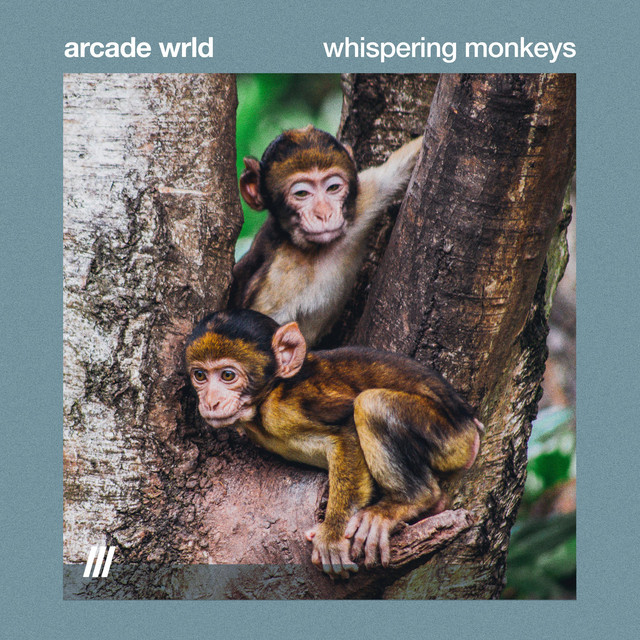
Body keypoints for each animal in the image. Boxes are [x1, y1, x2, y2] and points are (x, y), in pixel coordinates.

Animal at [185, 309, 484, 578]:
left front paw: (333, 533)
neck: (266, 399)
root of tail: (469, 424)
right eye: (200, 376)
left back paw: (409, 500)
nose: (210, 402)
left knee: (371, 403)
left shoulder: (289, 405)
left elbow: (348, 425)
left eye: (227, 375)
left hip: (449, 437)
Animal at [230, 125, 423, 346]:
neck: (315, 249)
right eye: (302, 194)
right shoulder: (277, 281)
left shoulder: (364, 198)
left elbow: (399, 168)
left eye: (333, 188)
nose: (324, 213)